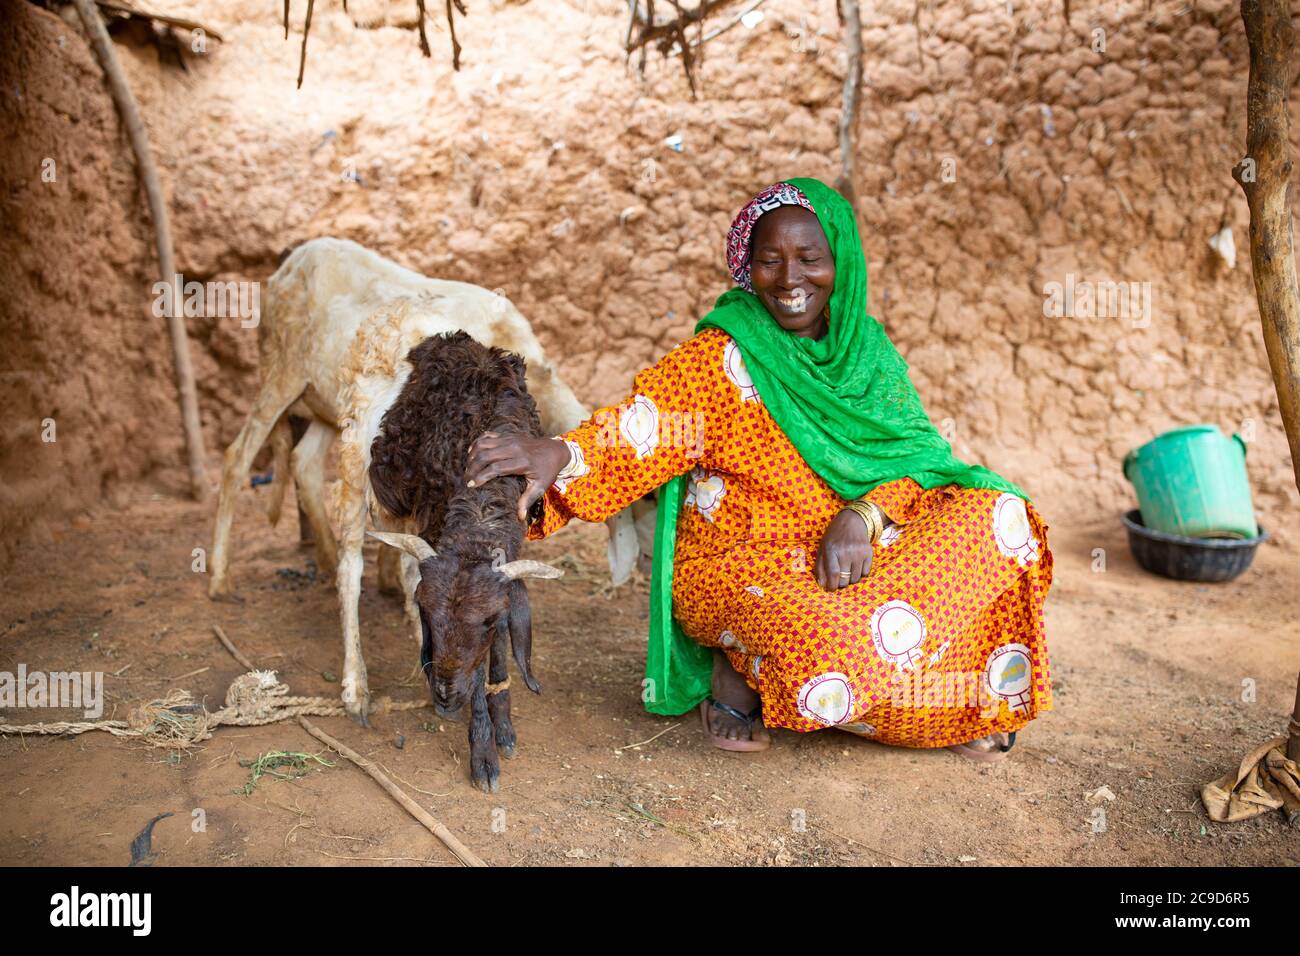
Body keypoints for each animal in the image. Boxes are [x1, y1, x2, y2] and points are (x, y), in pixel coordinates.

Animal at [207, 238, 645, 604]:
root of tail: (293, 260)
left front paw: (388, 579)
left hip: (329, 404)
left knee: (305, 463)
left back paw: (330, 562)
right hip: (281, 373)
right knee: (236, 458)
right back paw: (219, 578)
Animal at [365, 331, 562, 793]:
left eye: (487, 623)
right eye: (425, 612)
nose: (444, 695)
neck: (480, 509)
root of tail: (456, 340)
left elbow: (500, 650)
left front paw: (503, 724)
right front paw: (483, 754)